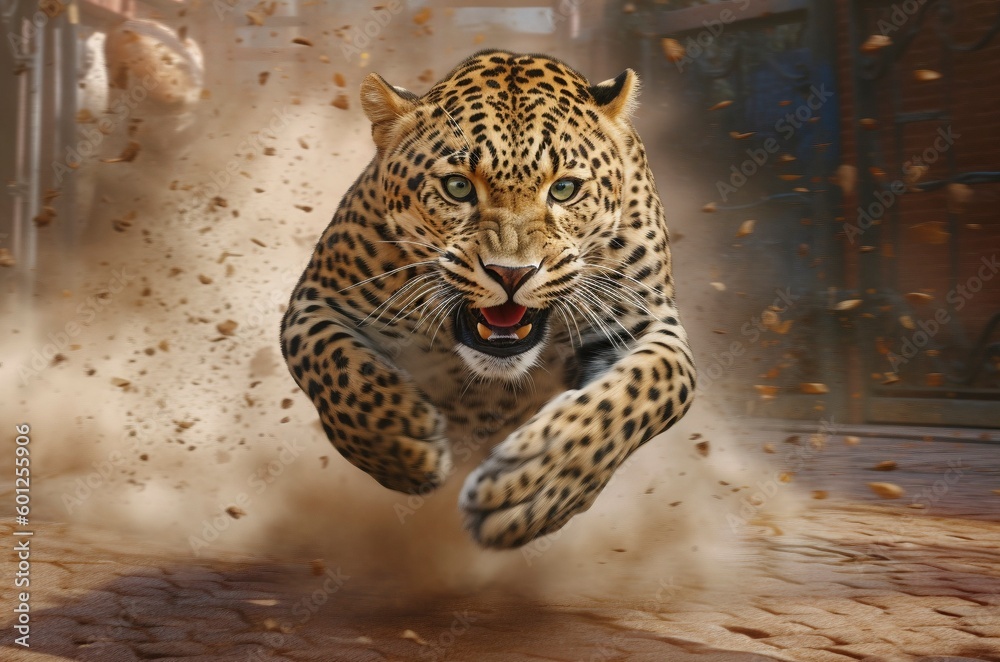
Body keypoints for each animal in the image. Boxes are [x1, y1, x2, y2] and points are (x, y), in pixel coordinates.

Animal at [280, 50, 696, 549]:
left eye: (564, 189)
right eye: (458, 187)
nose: (511, 273)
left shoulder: (650, 323)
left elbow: (642, 394)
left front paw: (534, 486)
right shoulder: (318, 300)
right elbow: (337, 370)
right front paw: (401, 441)